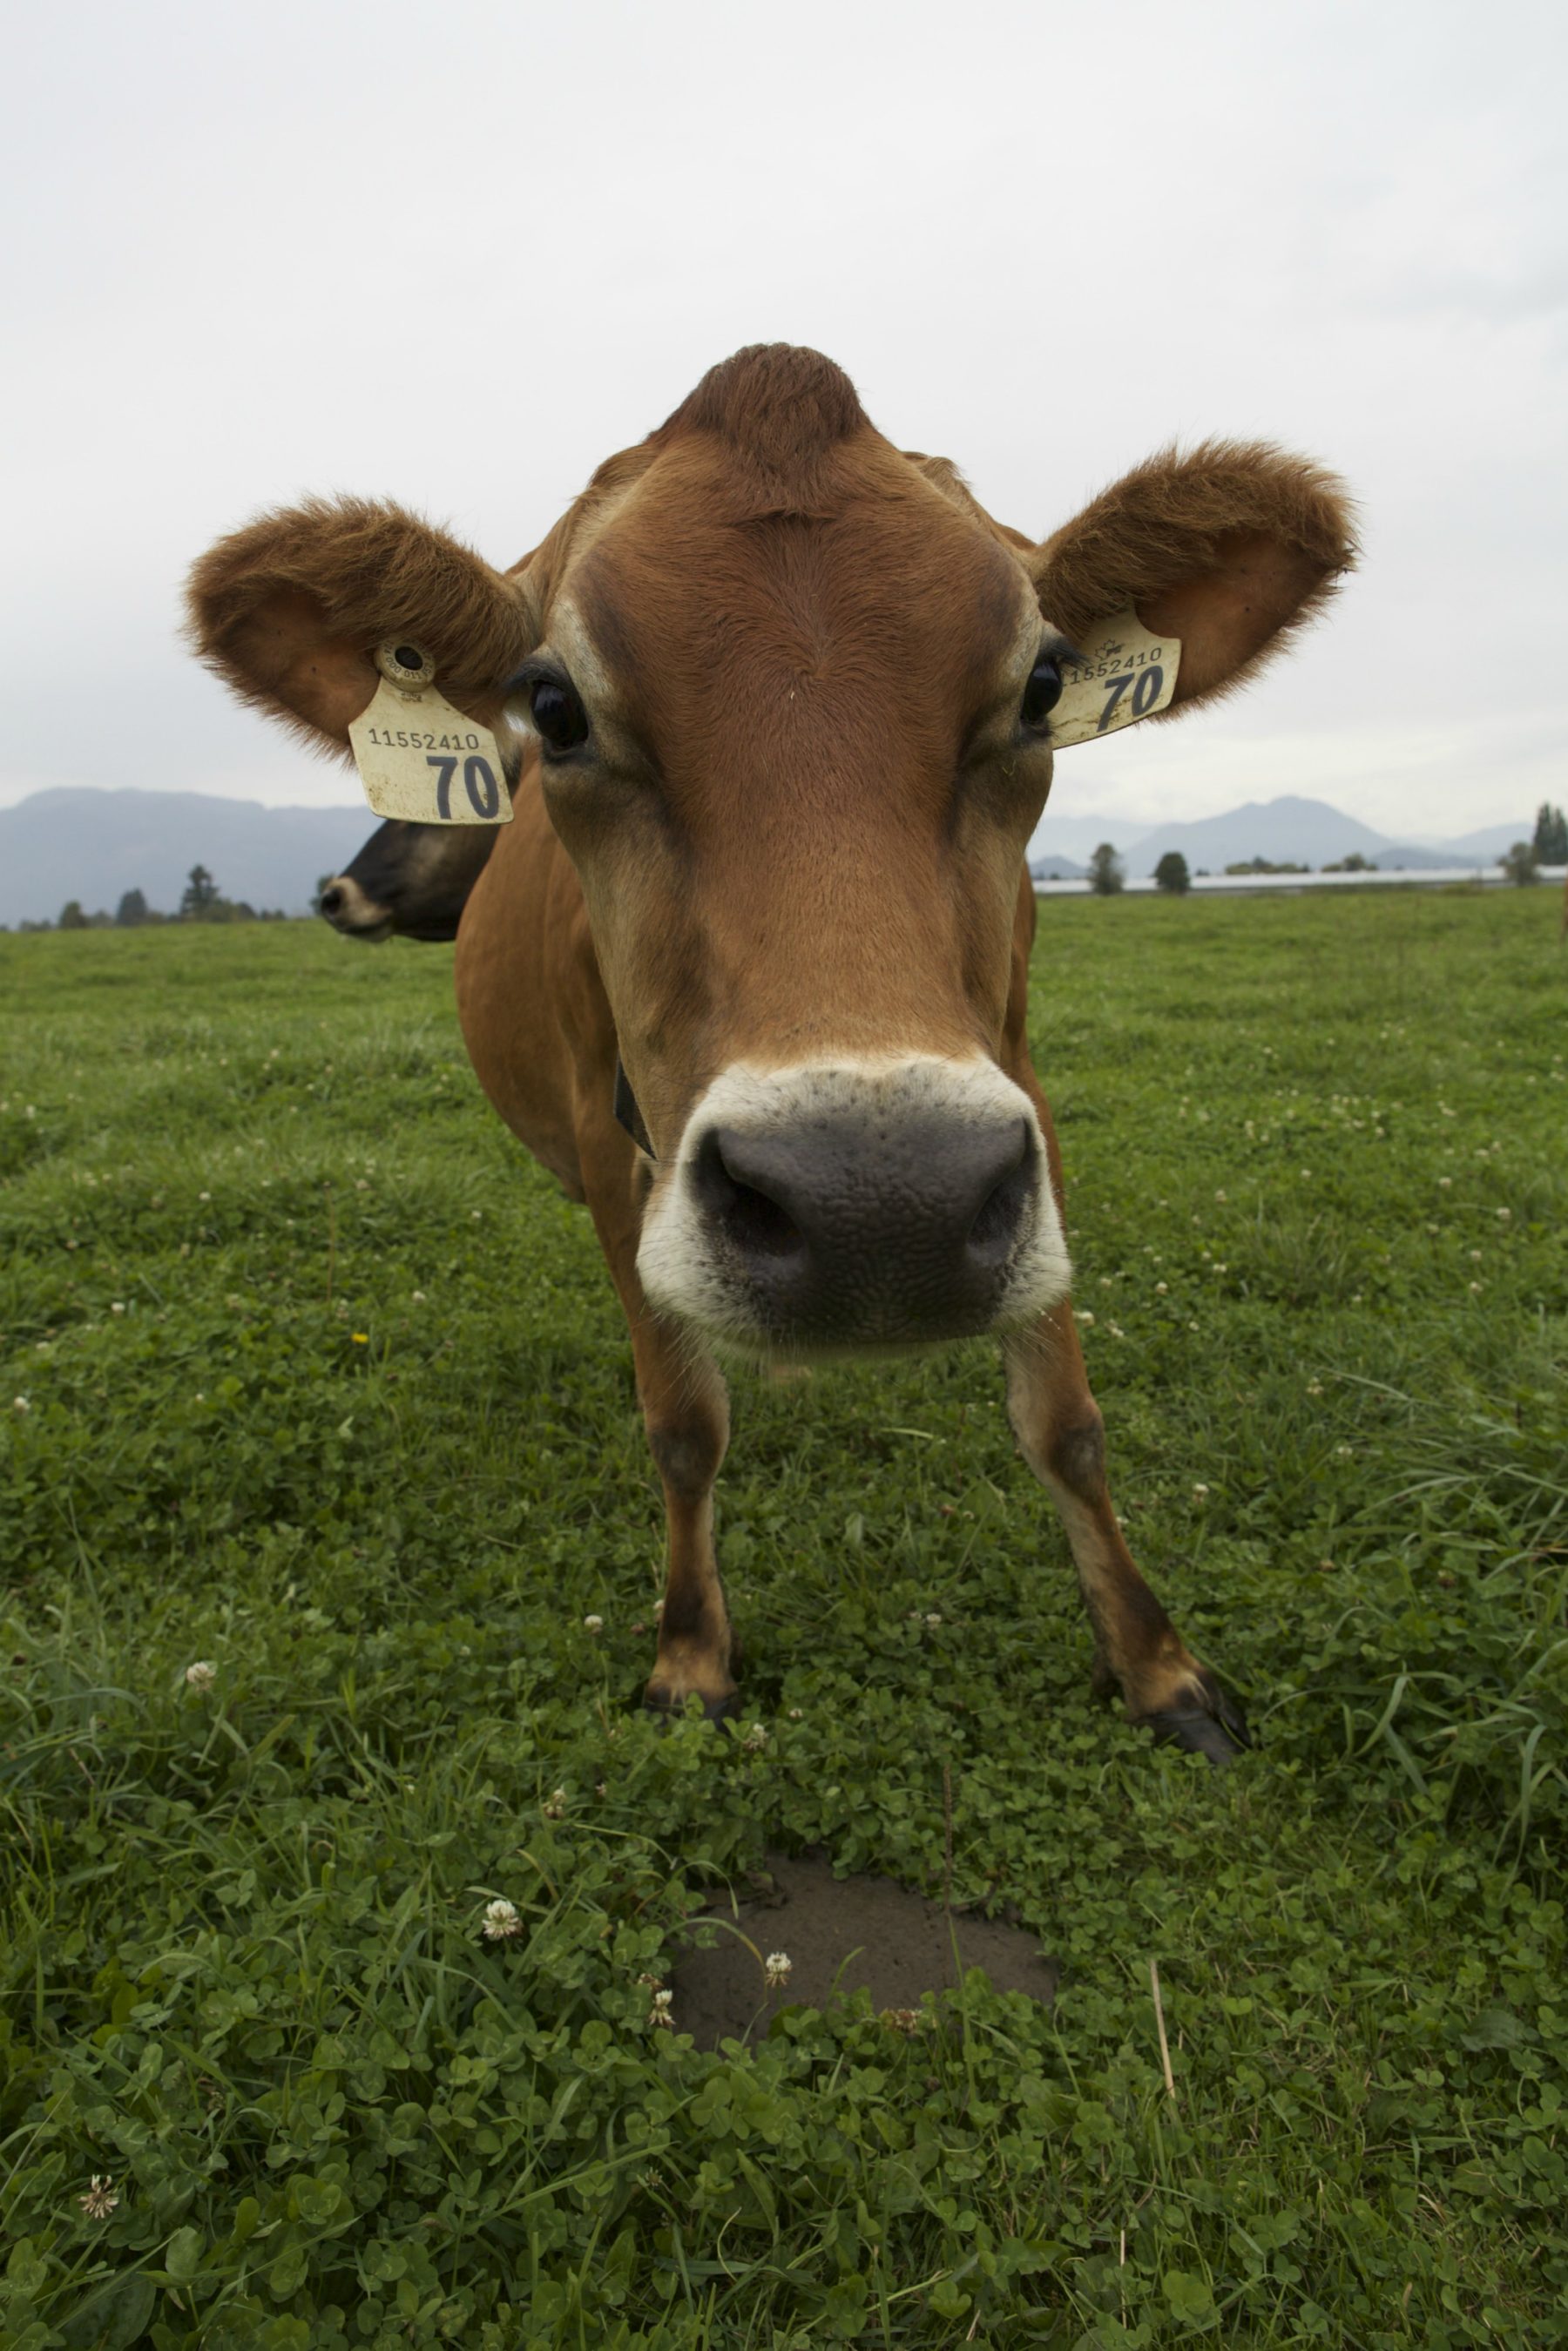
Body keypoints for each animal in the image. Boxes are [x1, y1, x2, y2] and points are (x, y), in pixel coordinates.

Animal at [188, 345, 1355, 1761]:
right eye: (552, 706)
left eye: (1041, 686)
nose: (881, 1210)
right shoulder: (614, 1144)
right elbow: (685, 1424)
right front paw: (692, 1658)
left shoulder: (1020, 1103)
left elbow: (1067, 1423)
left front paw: (1159, 1665)